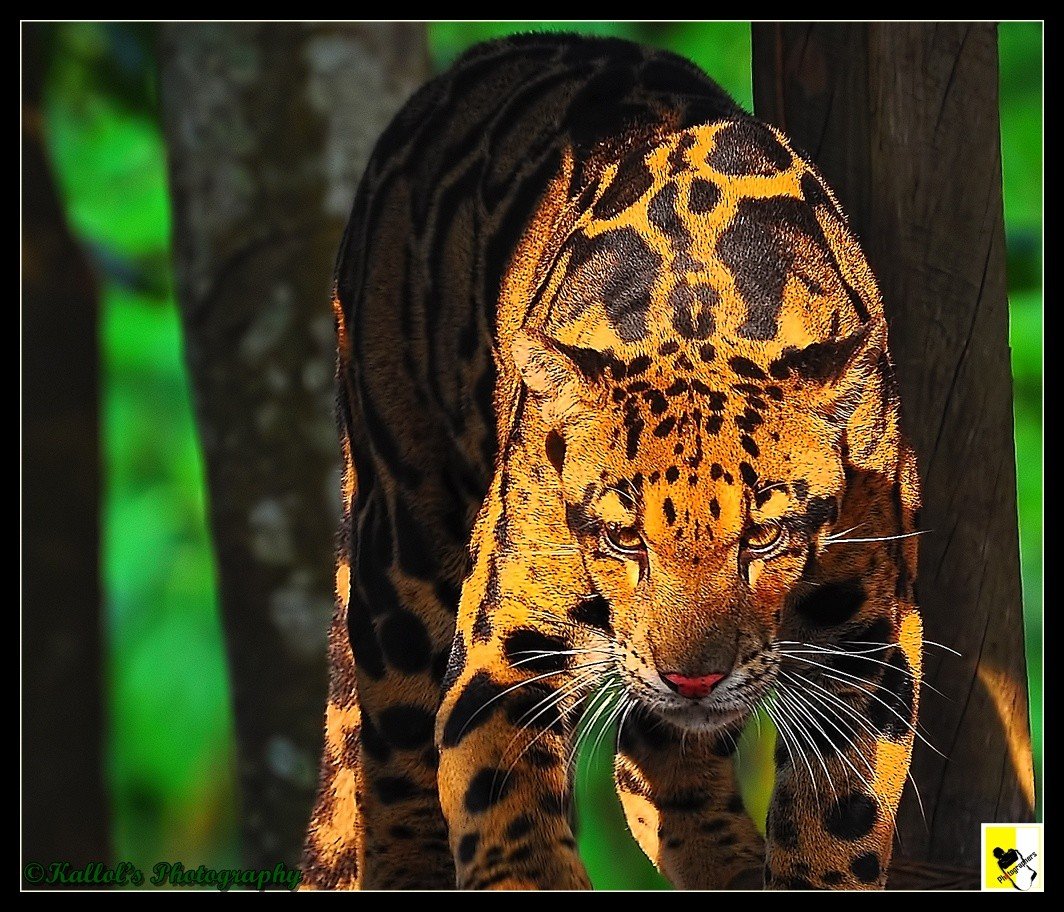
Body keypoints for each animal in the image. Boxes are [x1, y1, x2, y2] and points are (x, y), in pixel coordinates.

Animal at [301, 32, 923, 891]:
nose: (692, 677)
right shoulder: (505, 637)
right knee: (393, 764)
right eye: (624, 538)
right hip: (399, 538)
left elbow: (837, 824)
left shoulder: (867, 637)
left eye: (764, 537)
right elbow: (506, 818)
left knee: (653, 763)